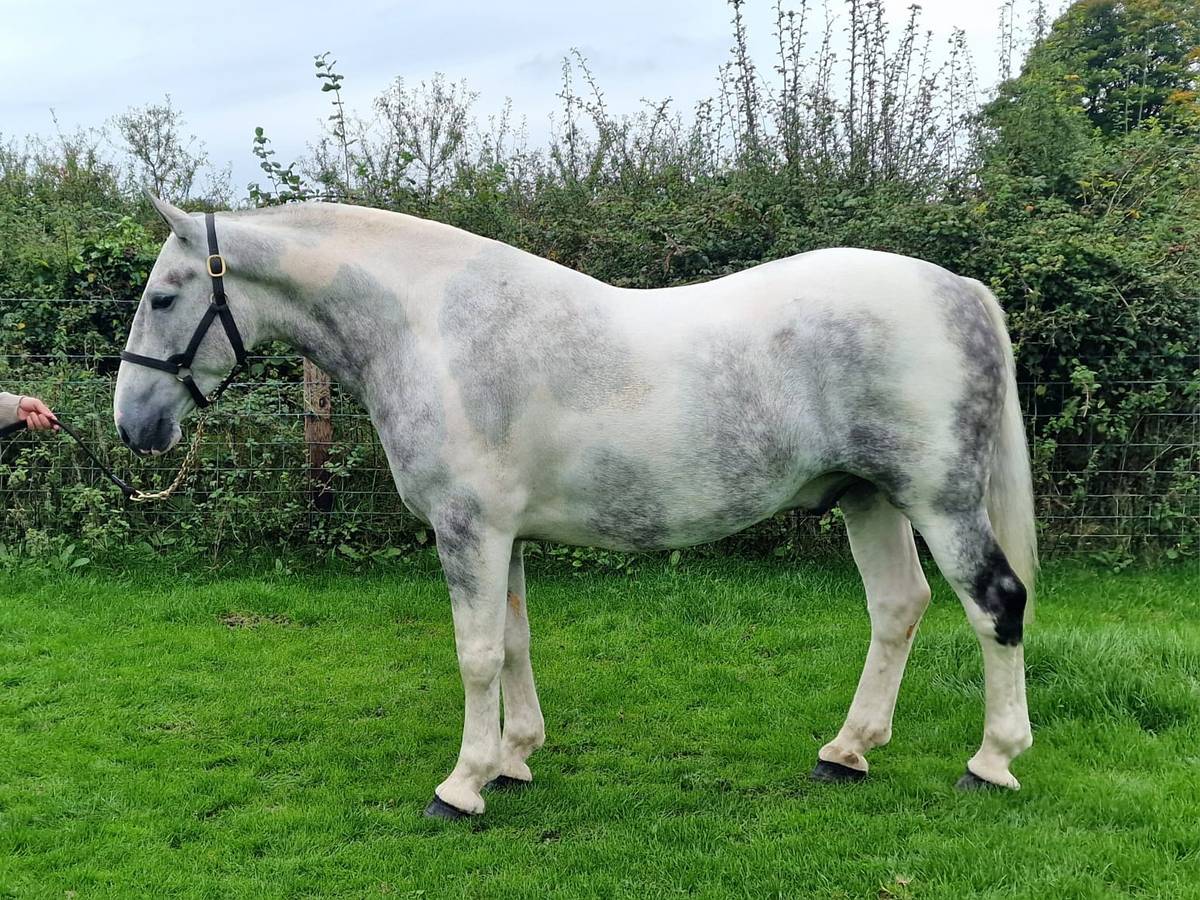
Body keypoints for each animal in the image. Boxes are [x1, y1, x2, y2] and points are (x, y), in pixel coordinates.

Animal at [114, 196, 1037, 819]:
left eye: (163, 297)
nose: (134, 425)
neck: (430, 330)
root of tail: (958, 289)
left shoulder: (468, 530)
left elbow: (477, 653)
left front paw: (463, 785)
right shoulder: (505, 535)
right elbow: (516, 641)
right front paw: (514, 760)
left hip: (939, 501)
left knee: (996, 604)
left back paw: (992, 761)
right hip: (870, 499)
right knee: (898, 608)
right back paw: (847, 752)